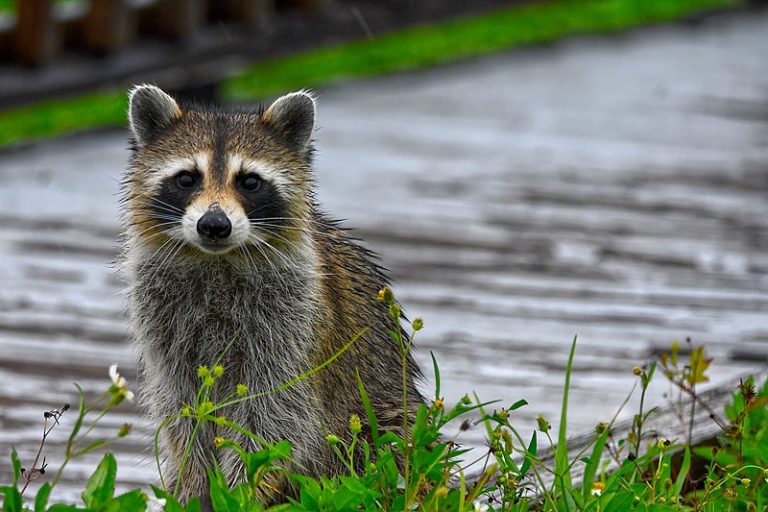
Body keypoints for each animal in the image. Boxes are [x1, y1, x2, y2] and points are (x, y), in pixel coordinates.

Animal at [120, 85, 424, 504]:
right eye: (186, 179)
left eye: (249, 181)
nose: (213, 225)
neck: (217, 259)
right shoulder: (162, 319)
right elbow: (182, 407)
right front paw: (196, 485)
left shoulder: (293, 323)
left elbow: (275, 411)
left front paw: (240, 492)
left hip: (385, 429)